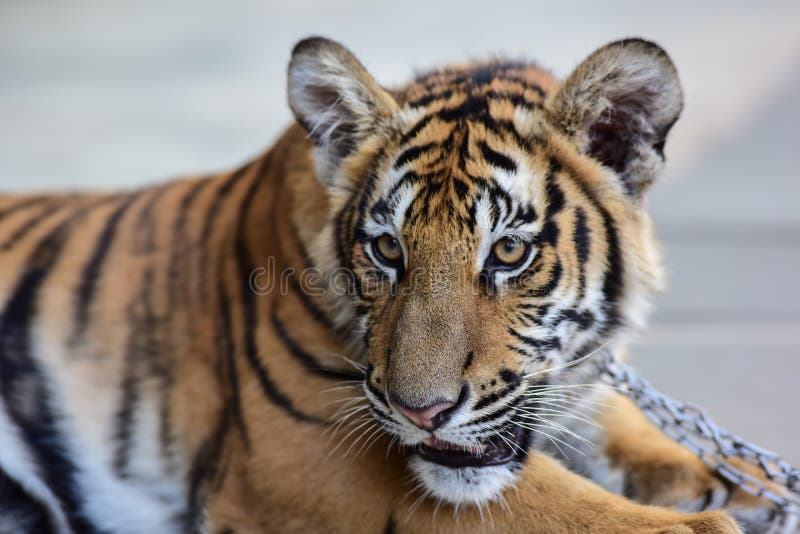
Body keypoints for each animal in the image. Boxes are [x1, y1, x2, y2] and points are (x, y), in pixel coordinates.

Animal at [0, 36, 779, 533]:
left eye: (509, 251)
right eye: (385, 249)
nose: (420, 413)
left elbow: (638, 430)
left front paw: (752, 483)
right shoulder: (311, 460)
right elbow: (578, 514)